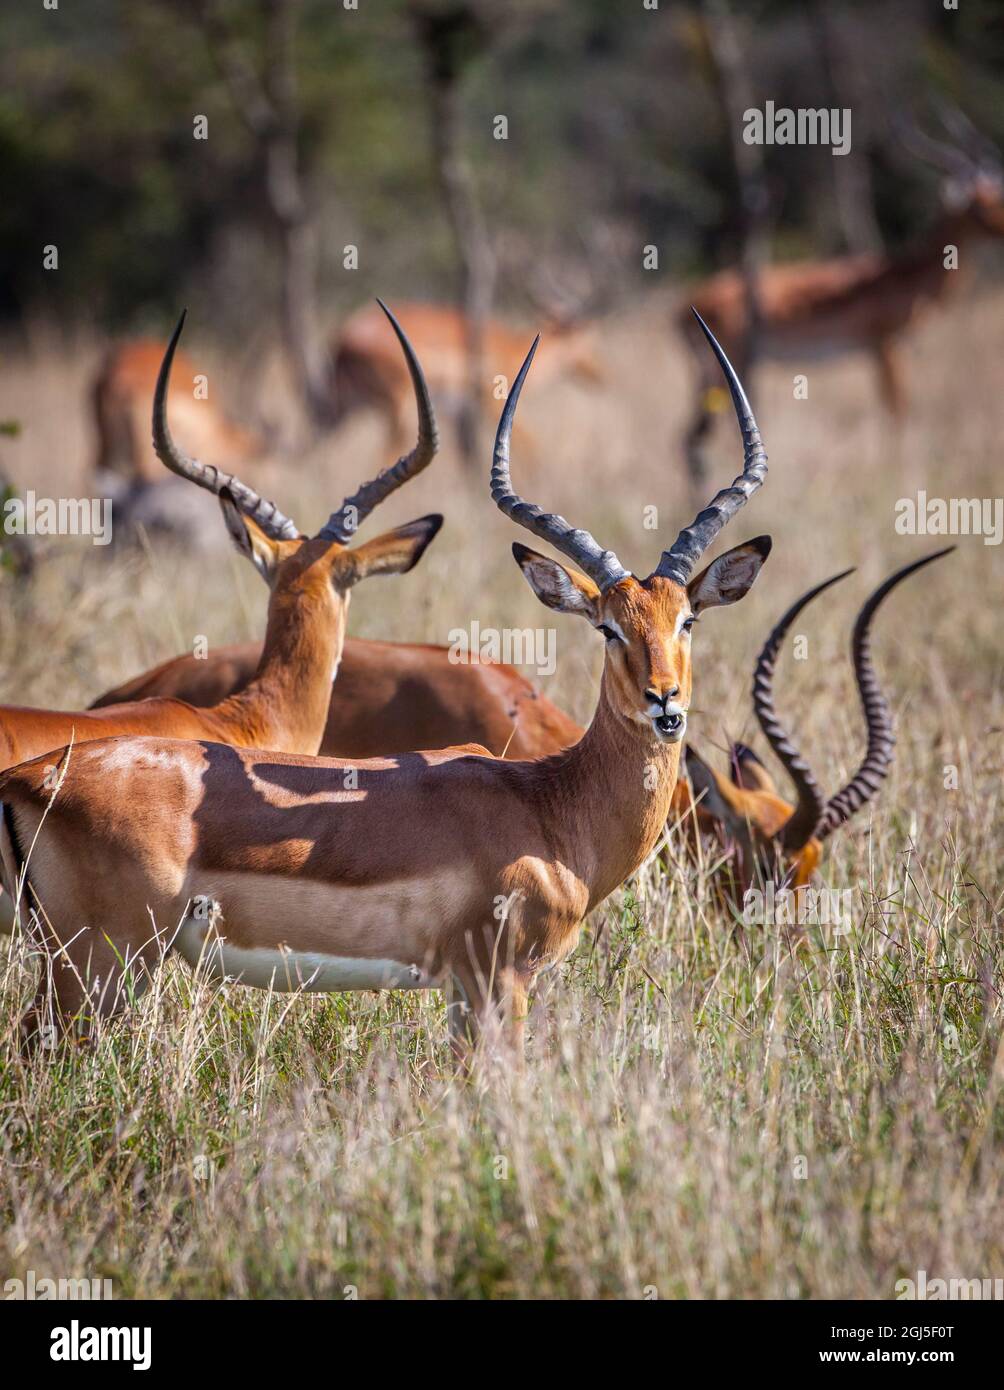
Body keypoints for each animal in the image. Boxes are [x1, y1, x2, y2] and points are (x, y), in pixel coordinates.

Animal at [681, 116, 1004, 479]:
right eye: (979, 206)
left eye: (997, 194)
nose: (1003, 229)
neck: (900, 275)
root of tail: (682, 306)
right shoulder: (884, 345)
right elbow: (897, 408)